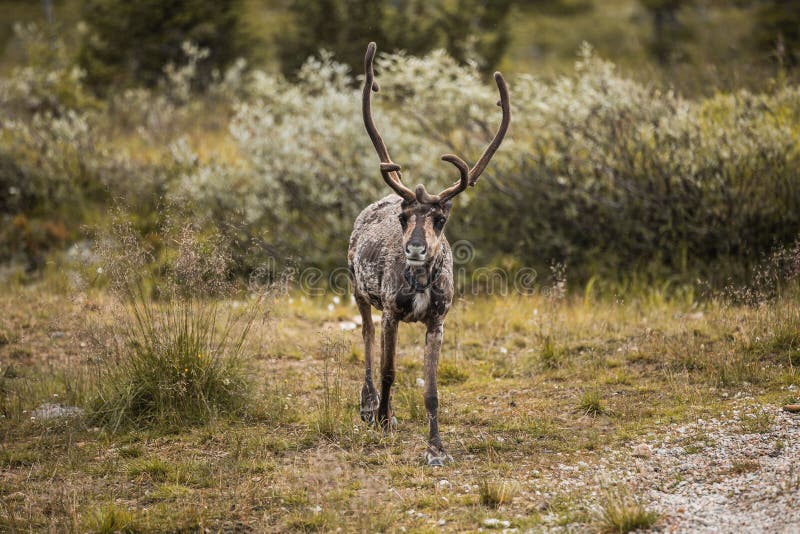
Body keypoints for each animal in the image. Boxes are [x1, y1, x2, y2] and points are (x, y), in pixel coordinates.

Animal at [348, 42, 510, 466]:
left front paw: (436, 447)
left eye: (439, 218)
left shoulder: (438, 322)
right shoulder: (390, 311)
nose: (415, 247)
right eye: (404, 217)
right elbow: (389, 370)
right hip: (358, 290)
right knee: (367, 338)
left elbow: (432, 390)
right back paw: (369, 405)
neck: (419, 283)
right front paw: (384, 419)